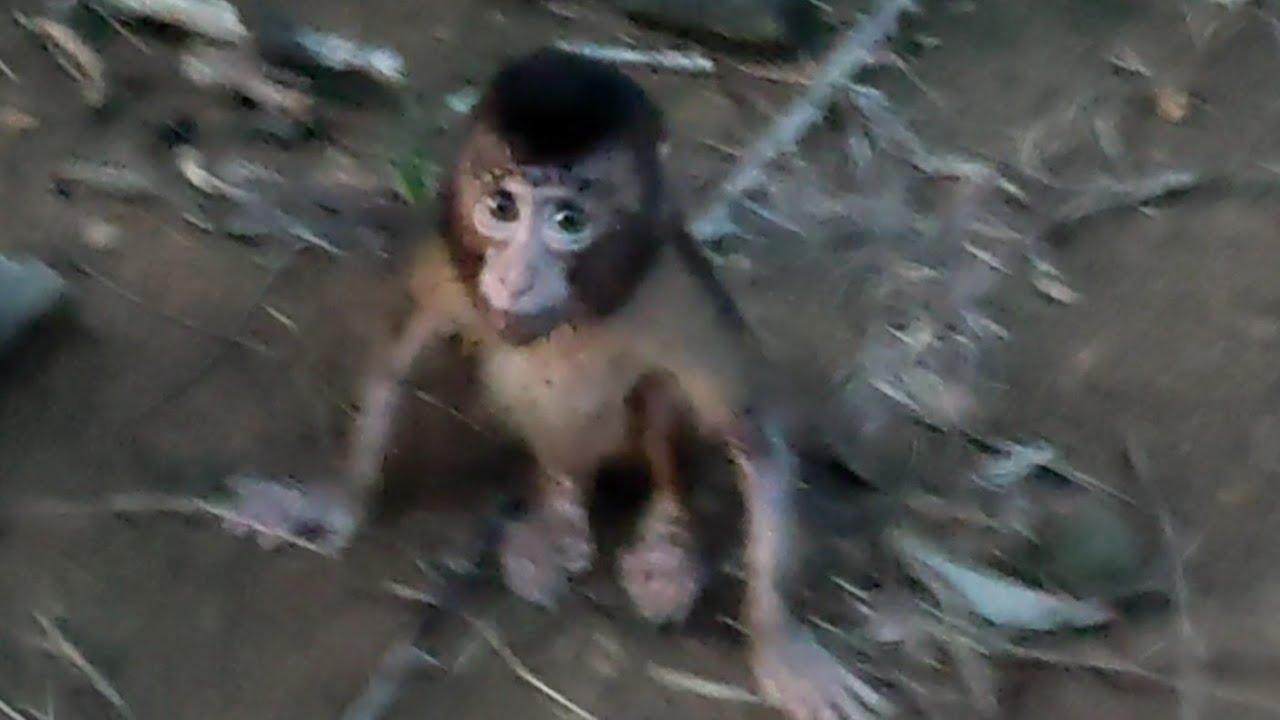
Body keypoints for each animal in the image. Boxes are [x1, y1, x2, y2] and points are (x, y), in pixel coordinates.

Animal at [224, 48, 890, 720]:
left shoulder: (672, 292)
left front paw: (780, 643)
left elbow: (754, 437)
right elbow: (395, 359)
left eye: (570, 220)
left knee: (661, 399)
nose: (515, 277)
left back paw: (667, 545)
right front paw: (326, 503)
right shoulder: (449, 266)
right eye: (501, 207)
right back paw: (557, 513)